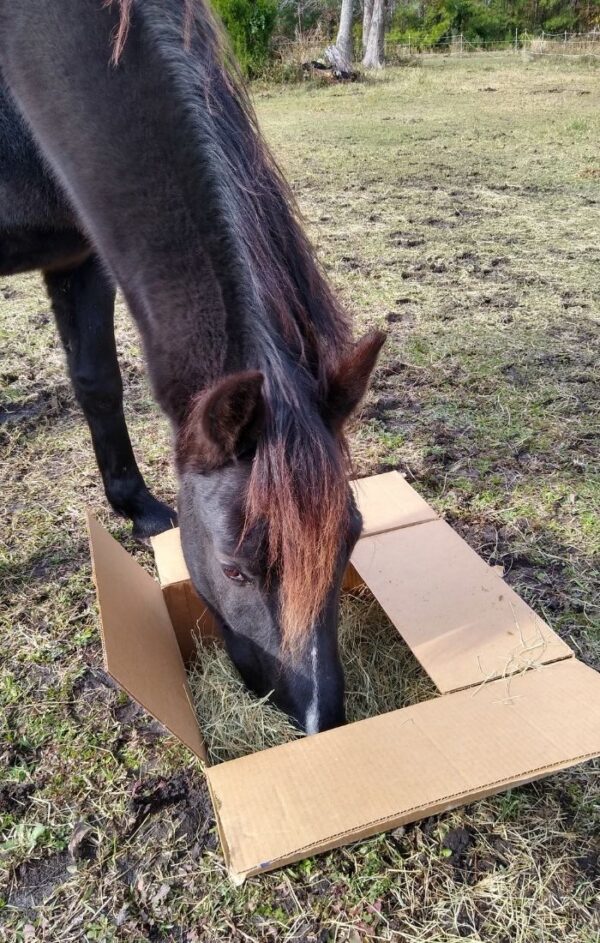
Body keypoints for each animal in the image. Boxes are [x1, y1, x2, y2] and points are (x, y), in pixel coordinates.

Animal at [0, 0, 384, 733]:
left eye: (353, 540)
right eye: (235, 571)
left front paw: (141, 509)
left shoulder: (80, 254)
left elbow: (97, 380)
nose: (320, 720)